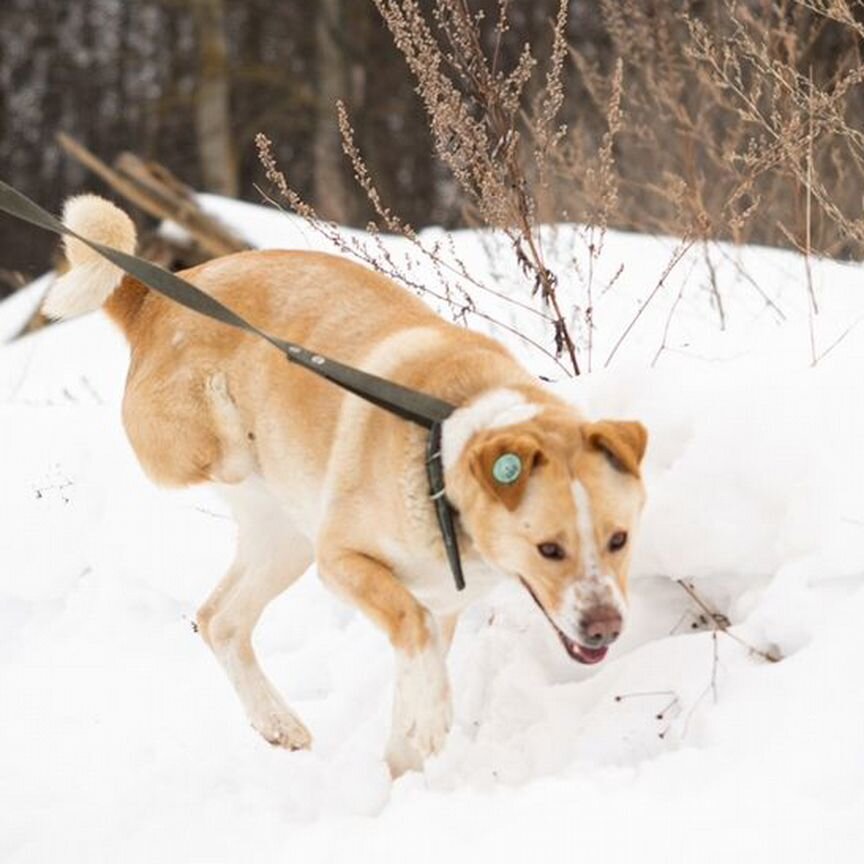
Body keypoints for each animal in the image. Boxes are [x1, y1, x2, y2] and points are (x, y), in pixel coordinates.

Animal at [42, 196, 648, 776]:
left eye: (619, 540)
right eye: (549, 549)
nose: (605, 629)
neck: (444, 441)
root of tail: (151, 300)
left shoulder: (443, 600)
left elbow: (417, 667)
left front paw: (403, 770)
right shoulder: (343, 562)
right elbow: (414, 628)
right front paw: (432, 722)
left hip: (283, 543)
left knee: (220, 620)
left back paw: (277, 723)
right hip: (214, 460)